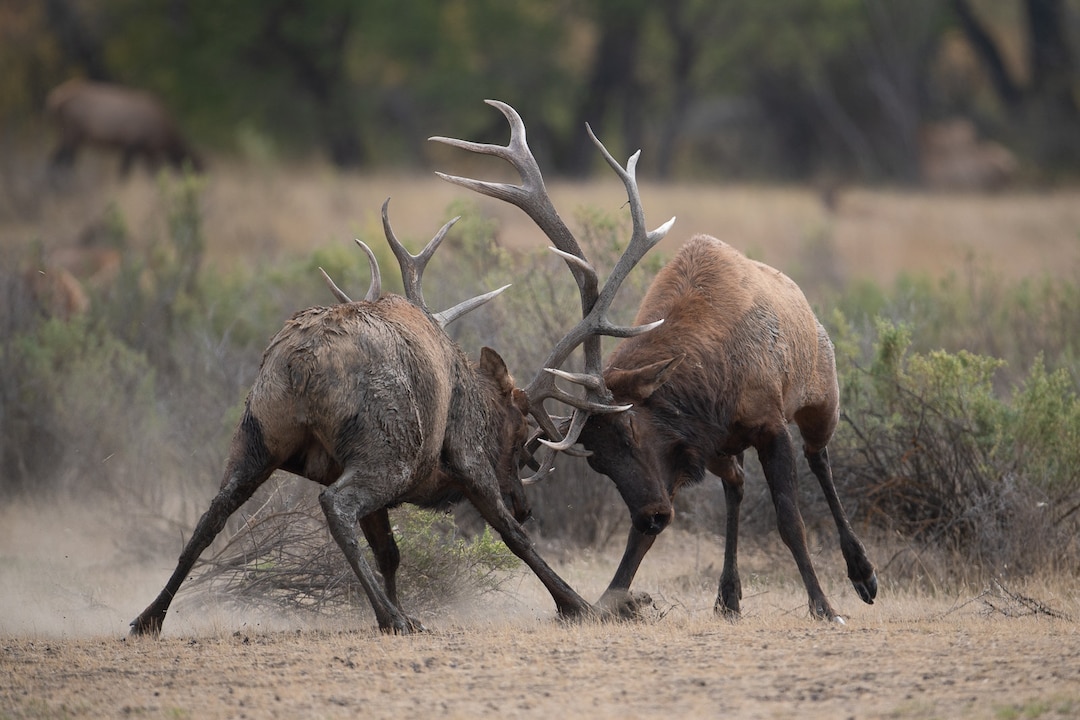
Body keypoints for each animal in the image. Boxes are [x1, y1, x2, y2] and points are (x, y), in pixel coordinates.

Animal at [46, 79, 203, 178]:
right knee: (65, 159)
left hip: (64, 133)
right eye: (196, 164)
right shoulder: (132, 143)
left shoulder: (147, 150)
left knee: (55, 157)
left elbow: (151, 173)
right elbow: (124, 171)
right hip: (73, 132)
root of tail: (54, 100)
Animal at [130, 199, 599, 637]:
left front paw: (405, 607)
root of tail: (303, 361)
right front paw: (578, 604)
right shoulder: (468, 458)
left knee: (213, 514)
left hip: (257, 436)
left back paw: (148, 617)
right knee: (334, 503)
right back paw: (391, 618)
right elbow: (511, 536)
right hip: (389, 451)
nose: (525, 505)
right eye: (519, 433)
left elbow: (389, 551)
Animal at [431, 100, 878, 622]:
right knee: (737, 484)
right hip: (723, 451)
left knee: (819, 458)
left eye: (629, 428)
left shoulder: (769, 424)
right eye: (596, 462)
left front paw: (825, 606)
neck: (713, 385)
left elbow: (791, 520)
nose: (652, 514)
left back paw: (862, 573)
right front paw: (609, 596)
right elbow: (638, 542)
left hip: (821, 395)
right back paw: (728, 595)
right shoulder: (694, 446)